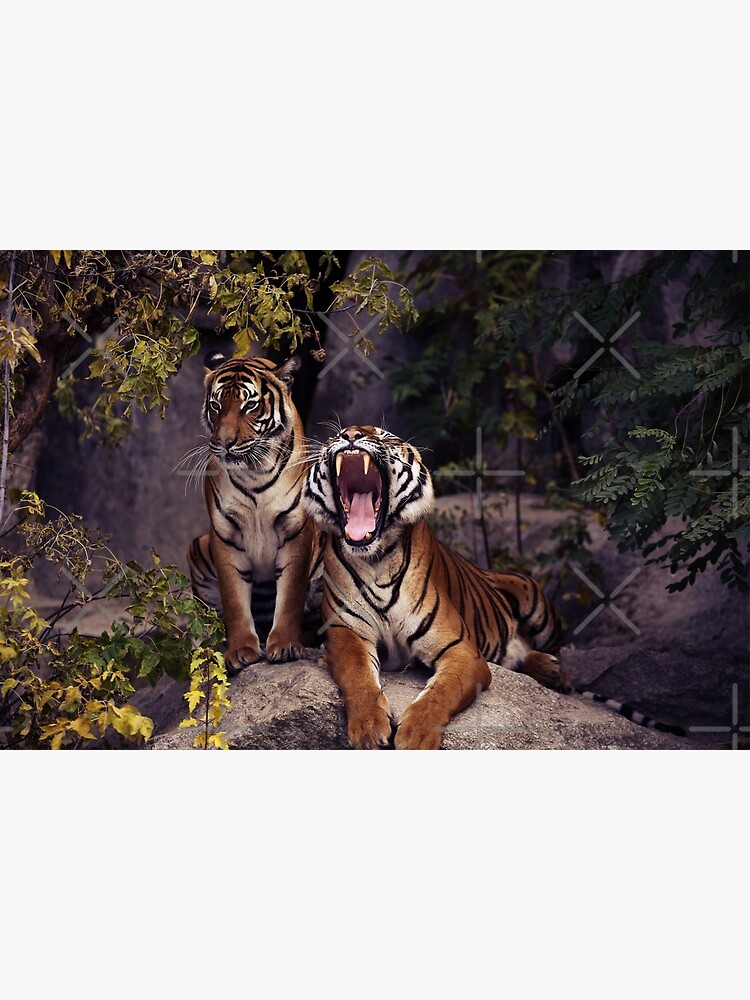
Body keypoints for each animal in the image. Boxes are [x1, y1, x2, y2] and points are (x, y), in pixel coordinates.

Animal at [186, 353, 318, 675]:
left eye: (249, 406)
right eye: (216, 406)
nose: (224, 443)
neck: (253, 473)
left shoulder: (296, 530)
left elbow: (290, 597)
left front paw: (285, 646)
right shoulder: (224, 535)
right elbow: (234, 601)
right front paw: (240, 651)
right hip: (197, 546)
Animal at [302, 424, 571, 750]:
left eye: (385, 436)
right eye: (336, 434)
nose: (351, 434)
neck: (376, 559)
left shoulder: (462, 650)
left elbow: (442, 692)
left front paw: (415, 737)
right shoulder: (346, 631)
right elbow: (357, 674)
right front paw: (368, 728)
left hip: (537, 604)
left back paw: (558, 674)